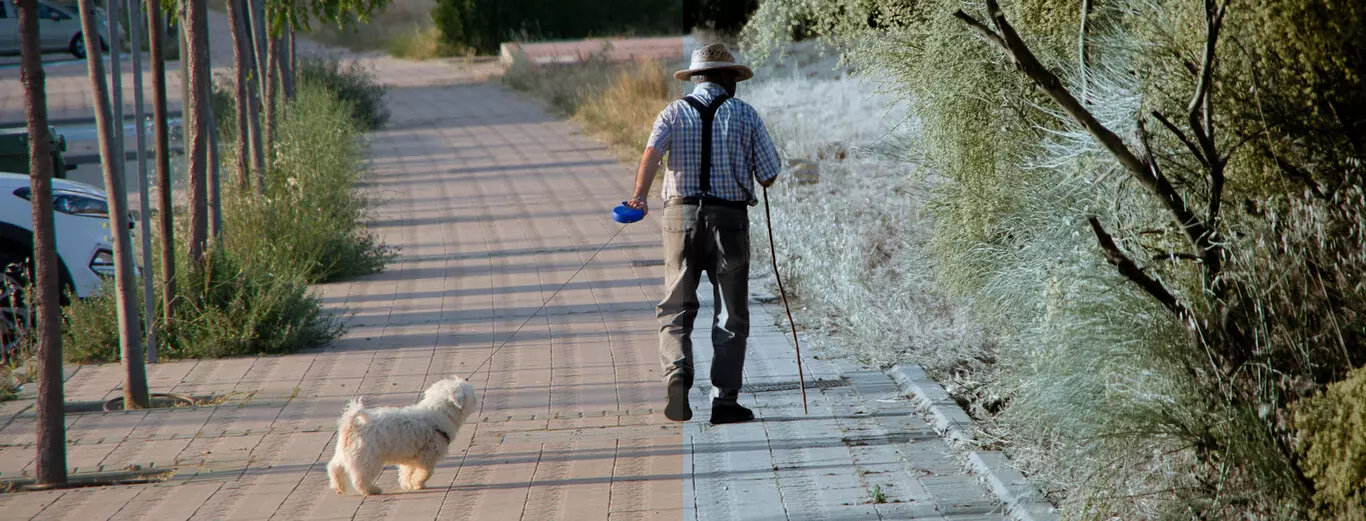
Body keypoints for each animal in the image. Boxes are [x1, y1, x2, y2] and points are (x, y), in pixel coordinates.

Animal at [327, 374, 478, 492]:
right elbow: (425, 472)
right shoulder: (428, 455)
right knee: (360, 479)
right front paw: (418, 483)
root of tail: (352, 424)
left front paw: (407, 485)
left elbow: (407, 472)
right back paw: (372, 490)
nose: (477, 398)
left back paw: (339, 486)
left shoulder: (410, 458)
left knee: (334, 468)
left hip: (344, 453)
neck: (440, 411)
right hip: (367, 457)